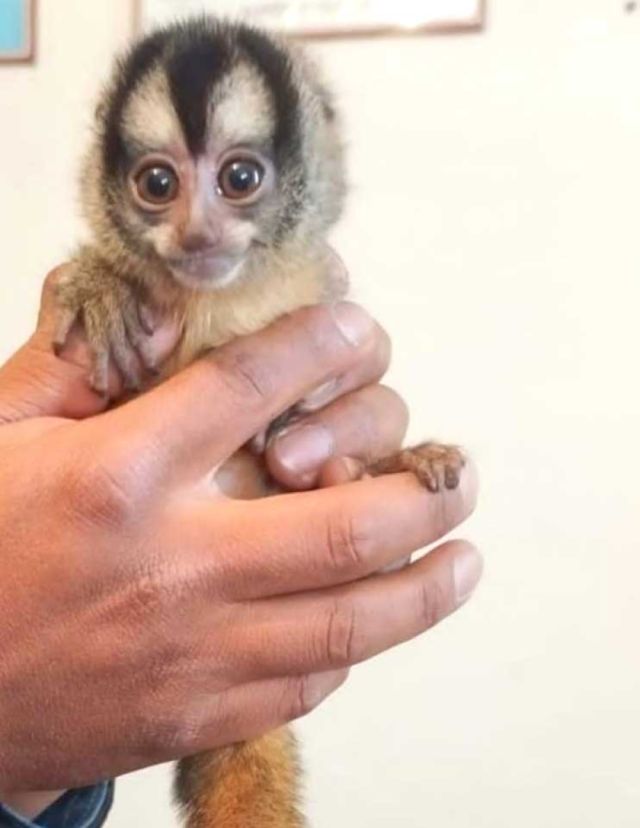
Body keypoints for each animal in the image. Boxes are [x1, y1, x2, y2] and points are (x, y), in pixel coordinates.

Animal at [51, 17, 465, 828]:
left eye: (239, 179)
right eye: (158, 184)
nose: (196, 234)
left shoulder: (315, 287)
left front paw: (383, 459)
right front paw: (100, 286)